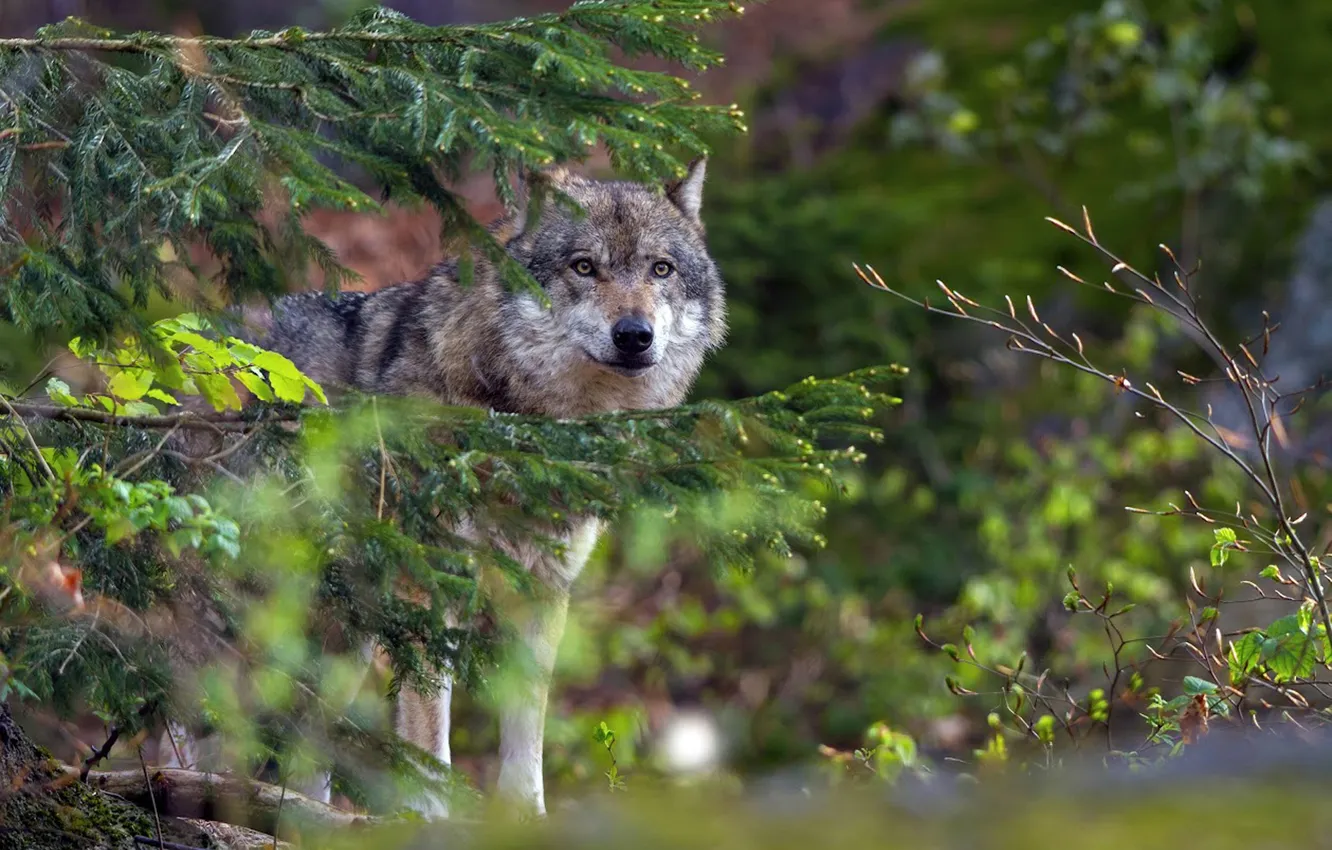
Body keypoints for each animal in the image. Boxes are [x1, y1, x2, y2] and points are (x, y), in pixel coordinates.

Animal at [157, 159, 725, 818]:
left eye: (661, 269)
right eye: (585, 266)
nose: (635, 335)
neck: (527, 426)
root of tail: (177, 343)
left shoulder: (543, 591)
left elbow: (526, 737)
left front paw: (526, 818)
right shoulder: (431, 585)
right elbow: (429, 734)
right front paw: (434, 820)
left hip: (340, 634)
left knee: (304, 747)